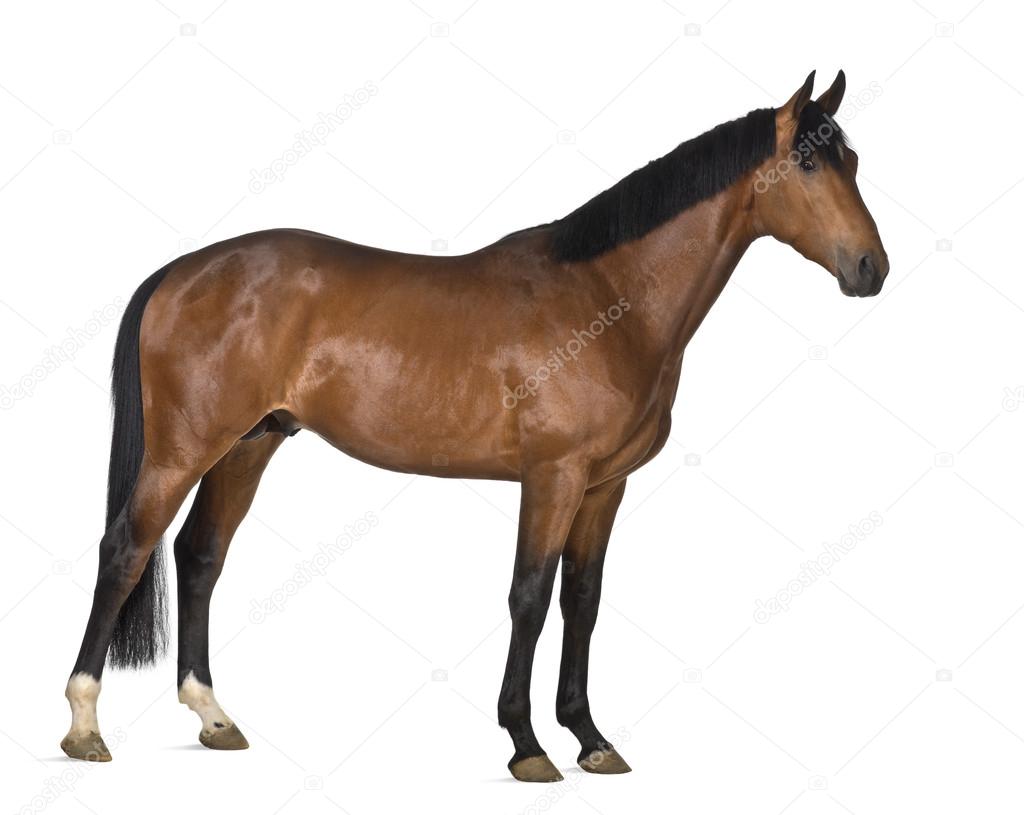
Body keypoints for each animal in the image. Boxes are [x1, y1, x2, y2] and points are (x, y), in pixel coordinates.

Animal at [62, 69, 888, 782]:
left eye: (851, 159)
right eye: (808, 165)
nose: (870, 268)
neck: (606, 295)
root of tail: (182, 271)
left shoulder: (604, 487)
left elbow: (582, 601)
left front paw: (590, 737)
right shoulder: (552, 477)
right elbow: (529, 595)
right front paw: (527, 744)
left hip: (248, 445)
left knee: (200, 557)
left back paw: (213, 716)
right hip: (183, 450)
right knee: (126, 550)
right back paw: (85, 726)